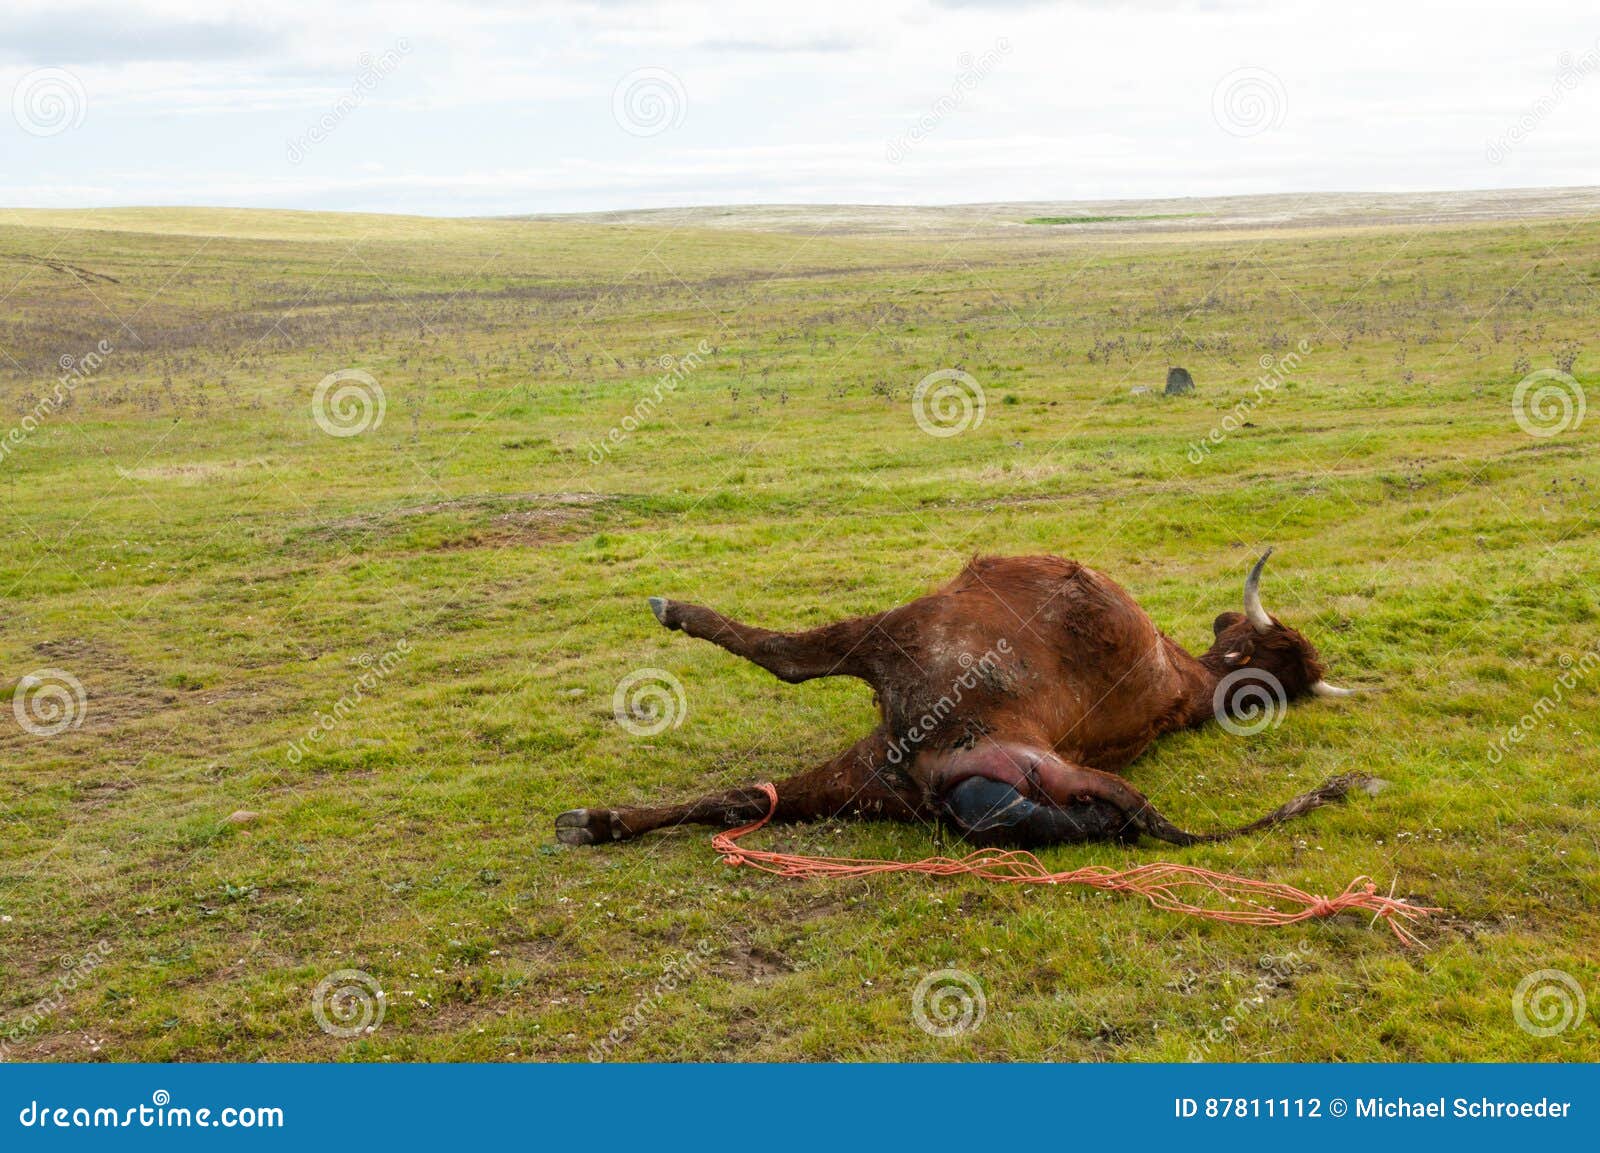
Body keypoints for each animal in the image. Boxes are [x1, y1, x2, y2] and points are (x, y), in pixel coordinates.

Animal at [555, 549, 1365, 850]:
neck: (1188, 680)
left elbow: (788, 658)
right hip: (872, 768)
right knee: (749, 798)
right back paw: (596, 821)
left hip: (894, 660)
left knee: (786, 663)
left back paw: (671, 609)